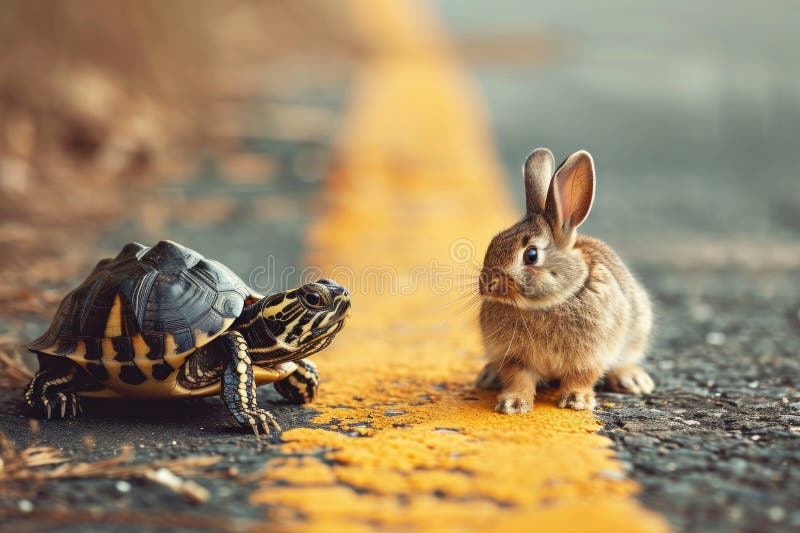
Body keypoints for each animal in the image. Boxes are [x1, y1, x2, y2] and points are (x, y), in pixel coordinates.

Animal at [475, 148, 654, 414]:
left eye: (531, 255)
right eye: (493, 242)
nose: (487, 283)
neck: (548, 303)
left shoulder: (591, 354)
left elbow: (581, 376)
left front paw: (576, 401)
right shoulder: (512, 357)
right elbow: (518, 379)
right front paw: (512, 404)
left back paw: (632, 380)